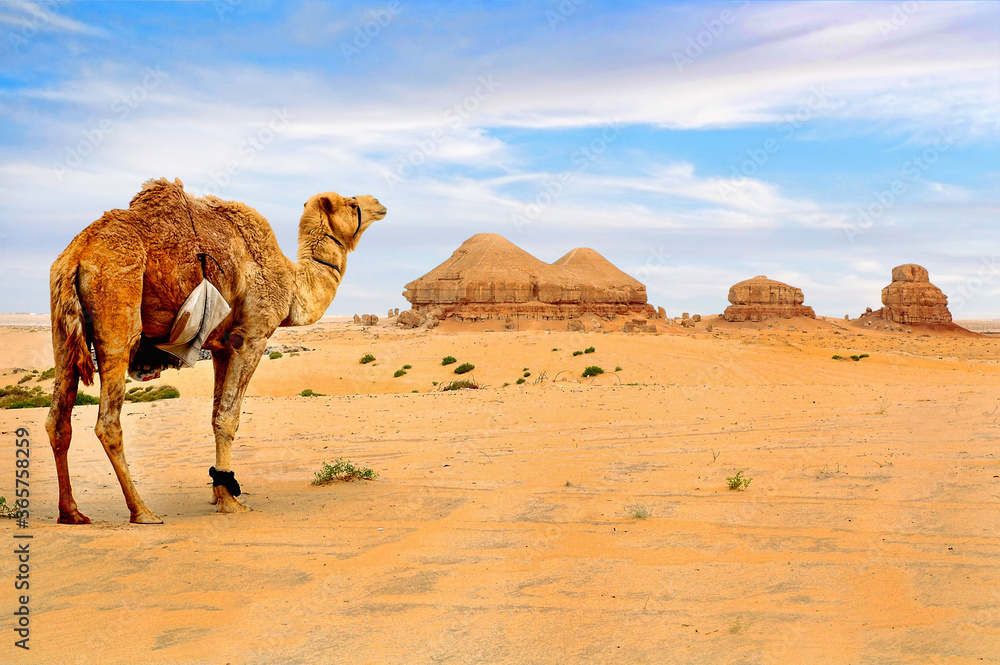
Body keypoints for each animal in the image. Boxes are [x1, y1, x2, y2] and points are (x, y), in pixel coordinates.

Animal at [45, 178, 385, 524]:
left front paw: (220, 490)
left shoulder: (221, 347)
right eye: (352, 204)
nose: (379, 203)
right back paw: (142, 511)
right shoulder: (252, 336)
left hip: (61, 327)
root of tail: (77, 255)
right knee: (108, 421)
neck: (291, 284)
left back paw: (71, 512)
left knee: (58, 419)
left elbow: (214, 416)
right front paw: (230, 502)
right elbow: (228, 418)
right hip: (117, 301)